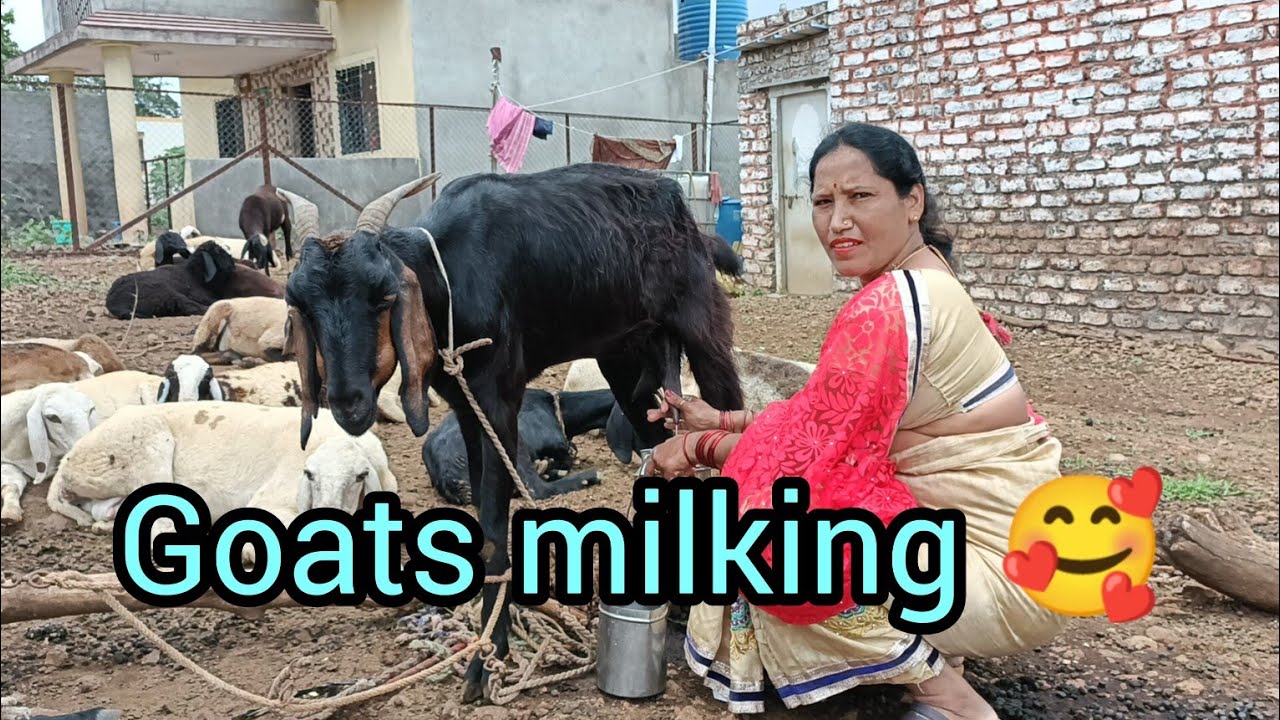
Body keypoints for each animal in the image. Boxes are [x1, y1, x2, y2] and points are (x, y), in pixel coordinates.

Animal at [105, 240, 284, 320]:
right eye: (219, 253)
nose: (233, 265)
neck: (193, 274)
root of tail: (115, 302)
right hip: (166, 293)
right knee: (192, 307)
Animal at [282, 164, 744, 701]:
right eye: (300, 302)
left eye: (384, 294)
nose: (348, 402)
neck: (450, 275)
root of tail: (682, 210)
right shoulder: (466, 405)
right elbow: (484, 525)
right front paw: (486, 651)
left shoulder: (500, 399)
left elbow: (496, 528)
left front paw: (487, 663)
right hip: (626, 355)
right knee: (657, 446)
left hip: (702, 325)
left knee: (732, 412)